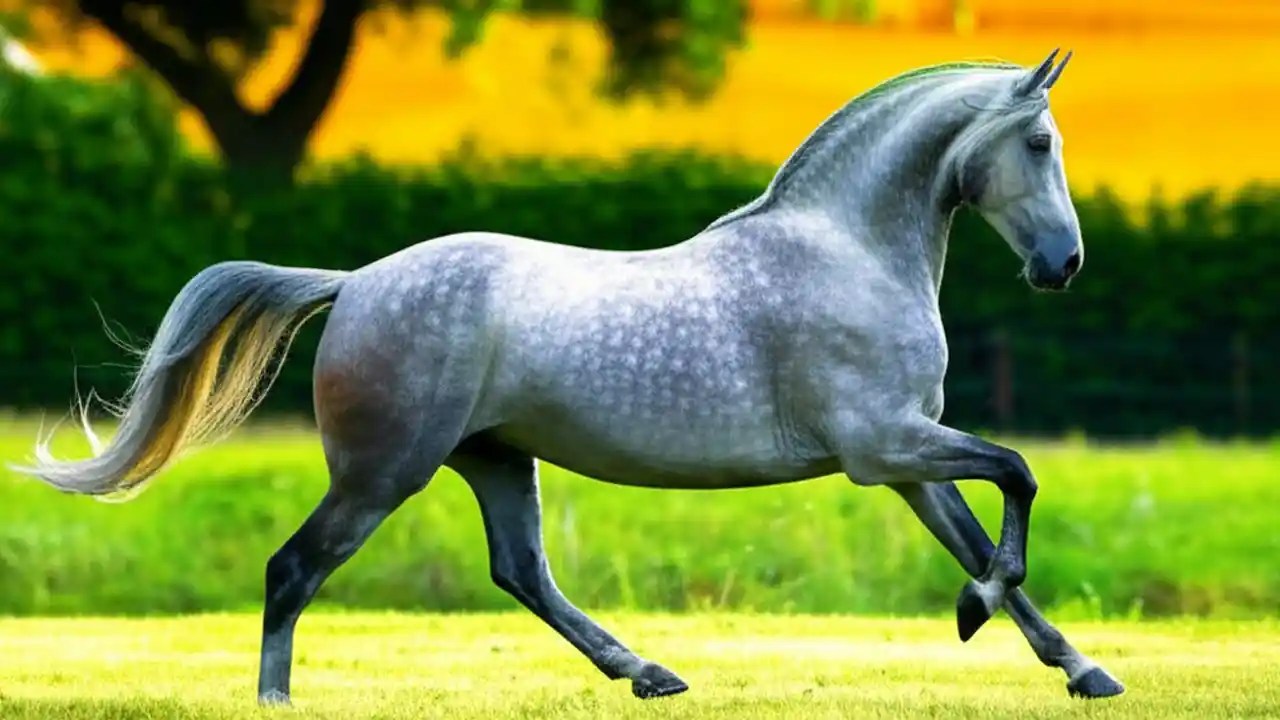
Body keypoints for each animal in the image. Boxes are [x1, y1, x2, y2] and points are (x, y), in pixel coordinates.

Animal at [14, 49, 1124, 703]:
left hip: (495, 461)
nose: (1064, 264)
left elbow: (981, 535)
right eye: (1038, 141)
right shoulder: (881, 446)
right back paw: (277, 701)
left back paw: (648, 672)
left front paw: (1077, 666)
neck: (841, 247)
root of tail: (356, 281)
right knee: (295, 569)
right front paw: (978, 615)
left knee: (522, 573)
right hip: (381, 473)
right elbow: (1018, 477)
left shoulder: (905, 458)